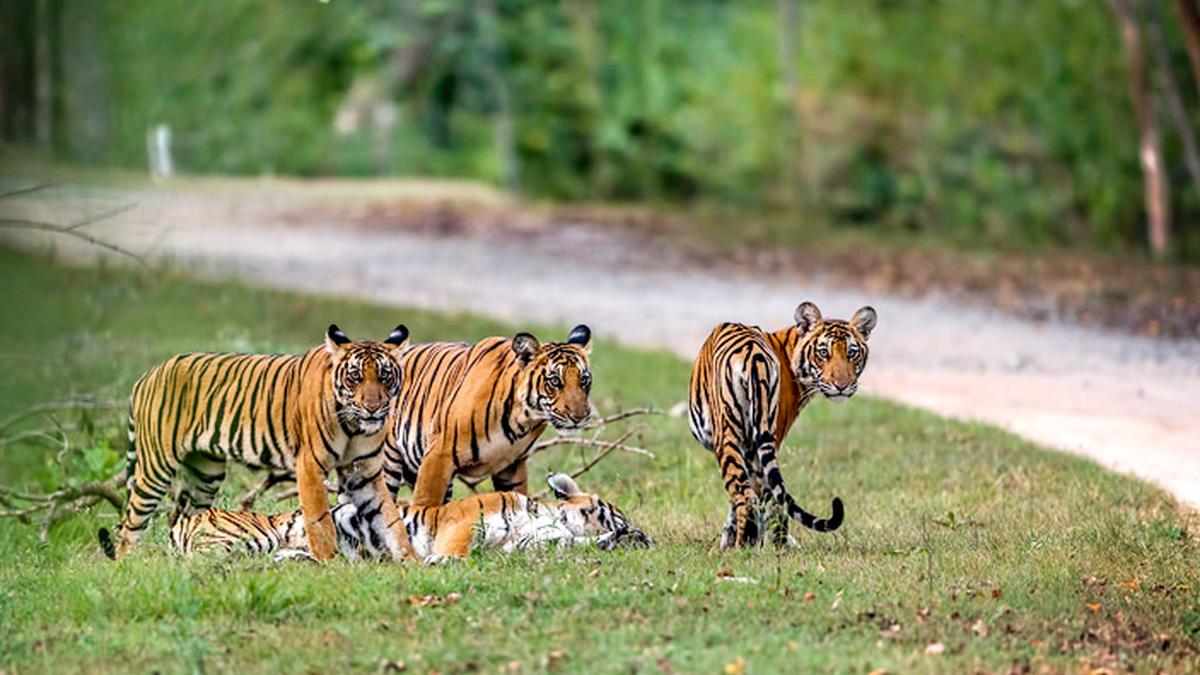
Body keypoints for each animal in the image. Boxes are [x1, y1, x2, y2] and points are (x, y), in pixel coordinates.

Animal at [98, 324, 414, 562]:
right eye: (354, 377)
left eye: (385, 376)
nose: (373, 408)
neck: (354, 426)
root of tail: (148, 374)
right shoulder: (310, 467)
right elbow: (319, 521)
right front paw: (329, 562)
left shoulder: (366, 474)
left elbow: (390, 519)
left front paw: (410, 560)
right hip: (156, 467)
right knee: (129, 526)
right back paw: (126, 565)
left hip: (205, 474)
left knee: (183, 517)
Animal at [688, 301, 877, 549]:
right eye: (823, 353)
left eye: (851, 353)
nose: (842, 386)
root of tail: (755, 356)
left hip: (731, 435)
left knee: (746, 495)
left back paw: (742, 548)